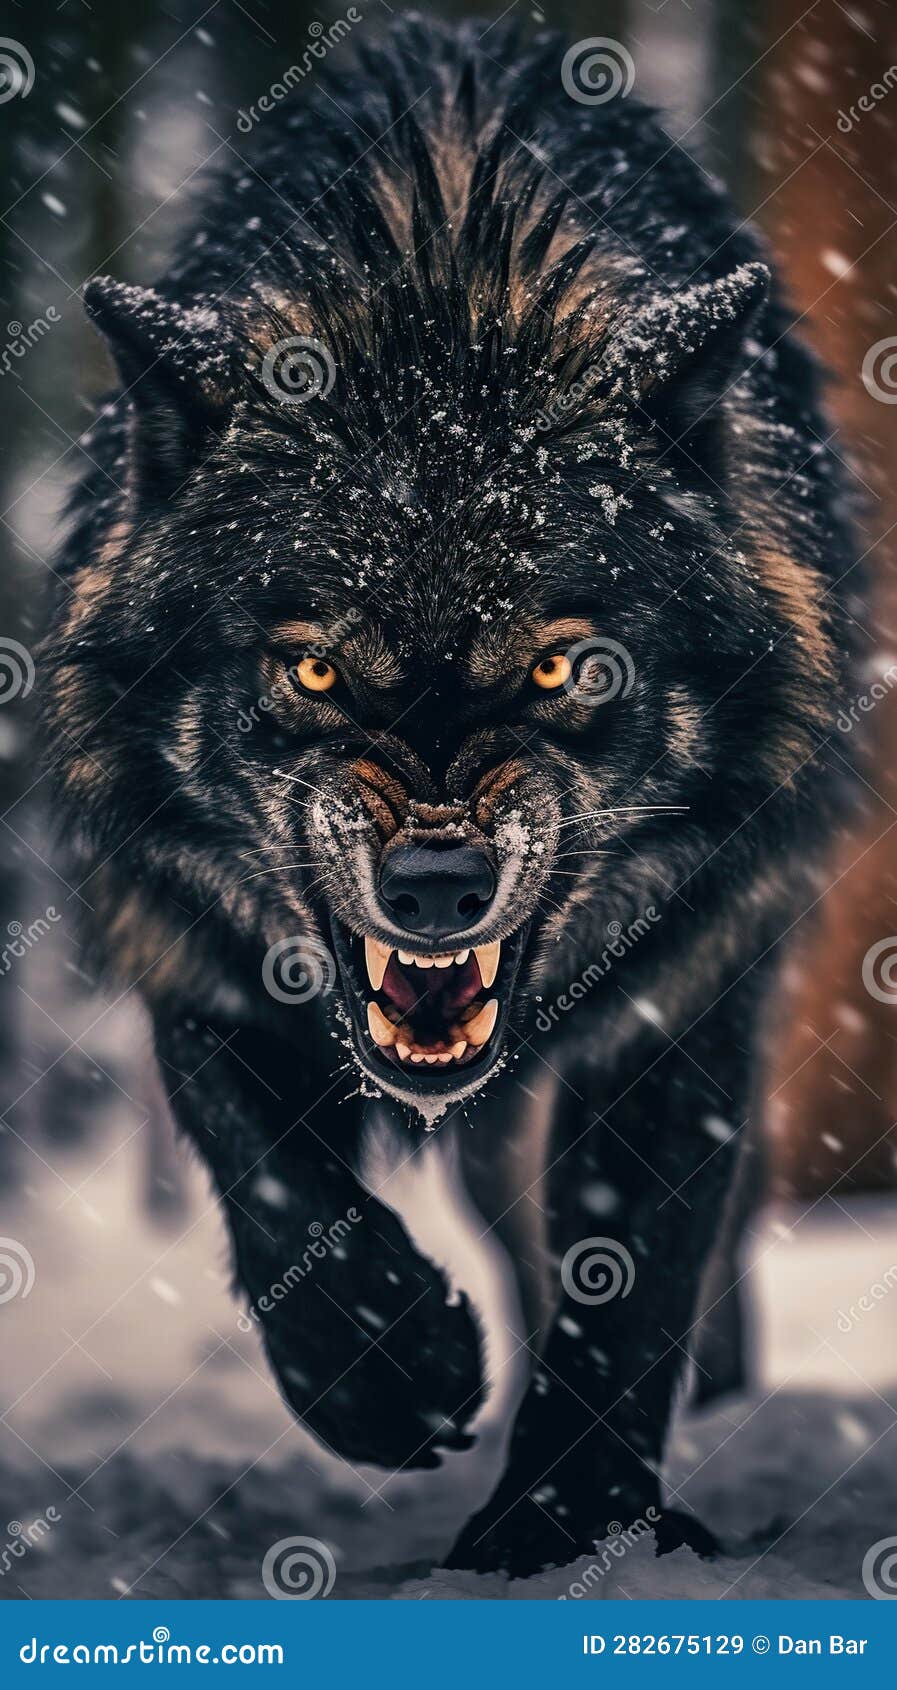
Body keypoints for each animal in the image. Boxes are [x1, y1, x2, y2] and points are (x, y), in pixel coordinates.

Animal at [42, 16, 853, 1575]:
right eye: (308, 667)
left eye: (556, 663)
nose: (433, 887)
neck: (445, 253)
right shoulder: (181, 929)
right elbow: (272, 1176)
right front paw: (386, 1371)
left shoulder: (689, 981)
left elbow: (627, 1276)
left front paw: (564, 1527)